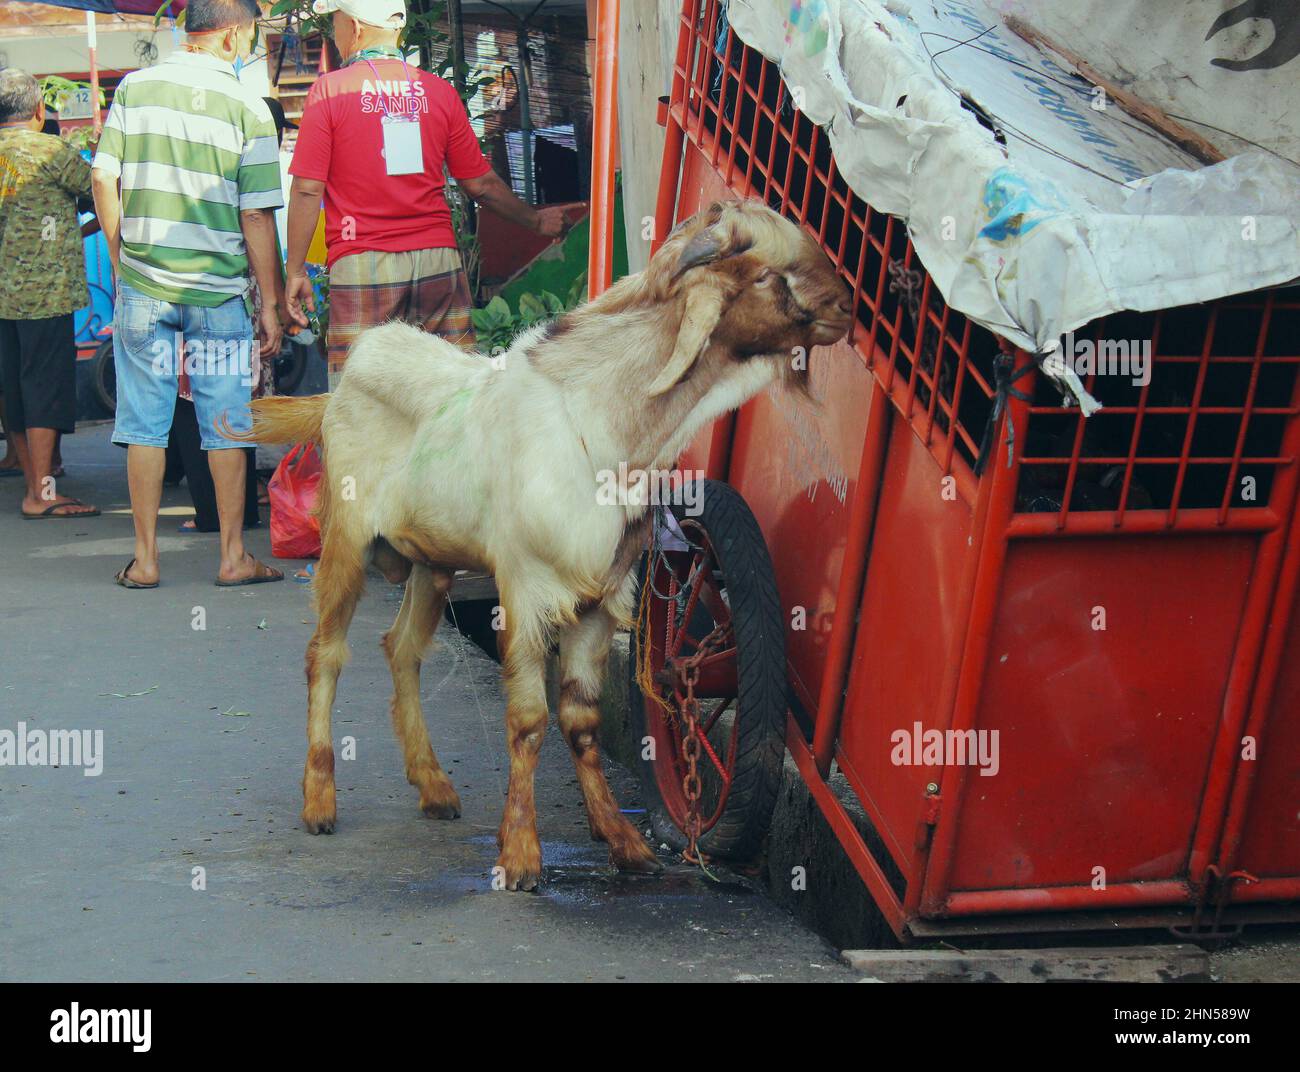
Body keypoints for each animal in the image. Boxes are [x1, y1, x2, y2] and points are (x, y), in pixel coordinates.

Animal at [238, 200, 851, 891]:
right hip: (345, 542)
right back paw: (319, 800)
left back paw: (435, 786)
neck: (605, 426)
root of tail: (337, 388)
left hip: (431, 562)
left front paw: (622, 841)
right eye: (770, 275)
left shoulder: (600, 598)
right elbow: (529, 720)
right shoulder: (527, 590)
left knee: (401, 649)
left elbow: (580, 722)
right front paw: (520, 855)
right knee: (326, 654)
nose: (848, 306)